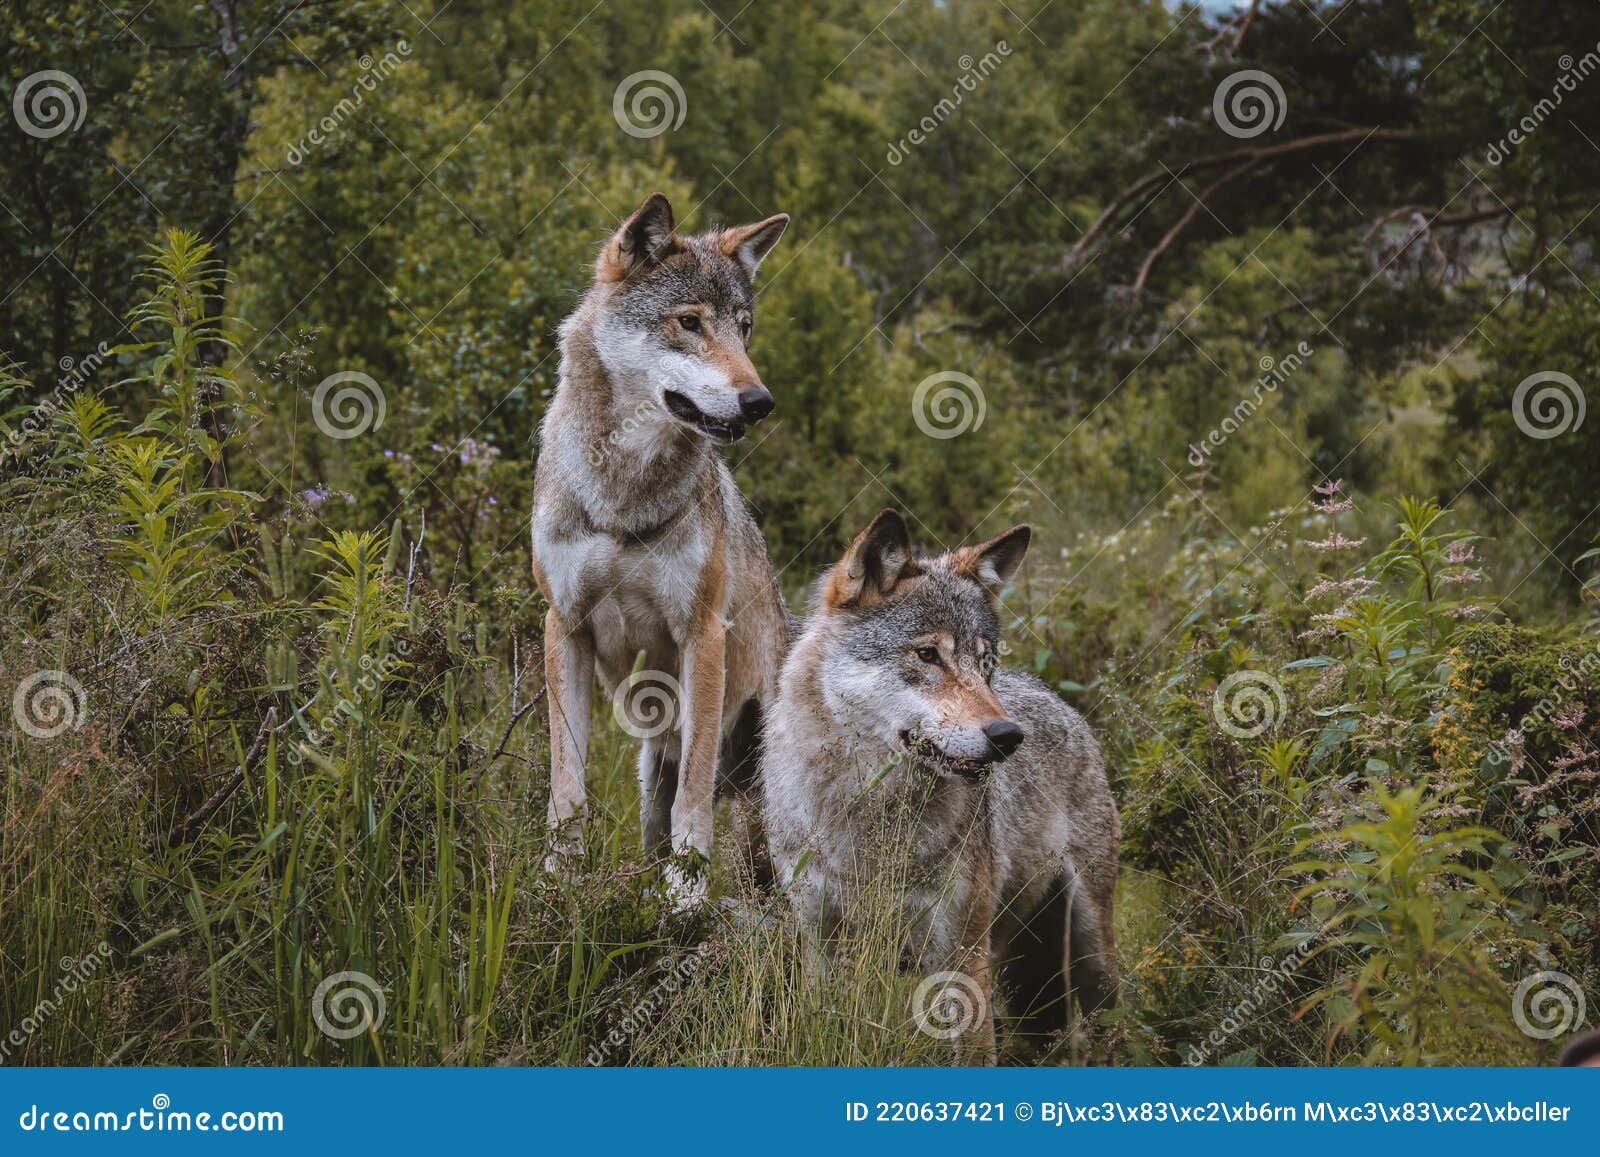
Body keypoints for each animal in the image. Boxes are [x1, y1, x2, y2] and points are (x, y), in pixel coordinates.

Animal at [531, 192, 791, 904]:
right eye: (690, 323)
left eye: (744, 329)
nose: (760, 401)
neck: (623, 498)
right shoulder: (563, 626)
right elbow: (568, 785)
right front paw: (561, 879)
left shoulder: (701, 633)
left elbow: (694, 797)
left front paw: (686, 895)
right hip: (651, 758)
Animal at [762, 510, 1120, 1061]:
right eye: (928, 654)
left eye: (985, 662)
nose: (1008, 736)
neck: (871, 820)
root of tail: (1063, 703)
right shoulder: (821, 946)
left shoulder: (960, 957)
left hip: (1090, 954)